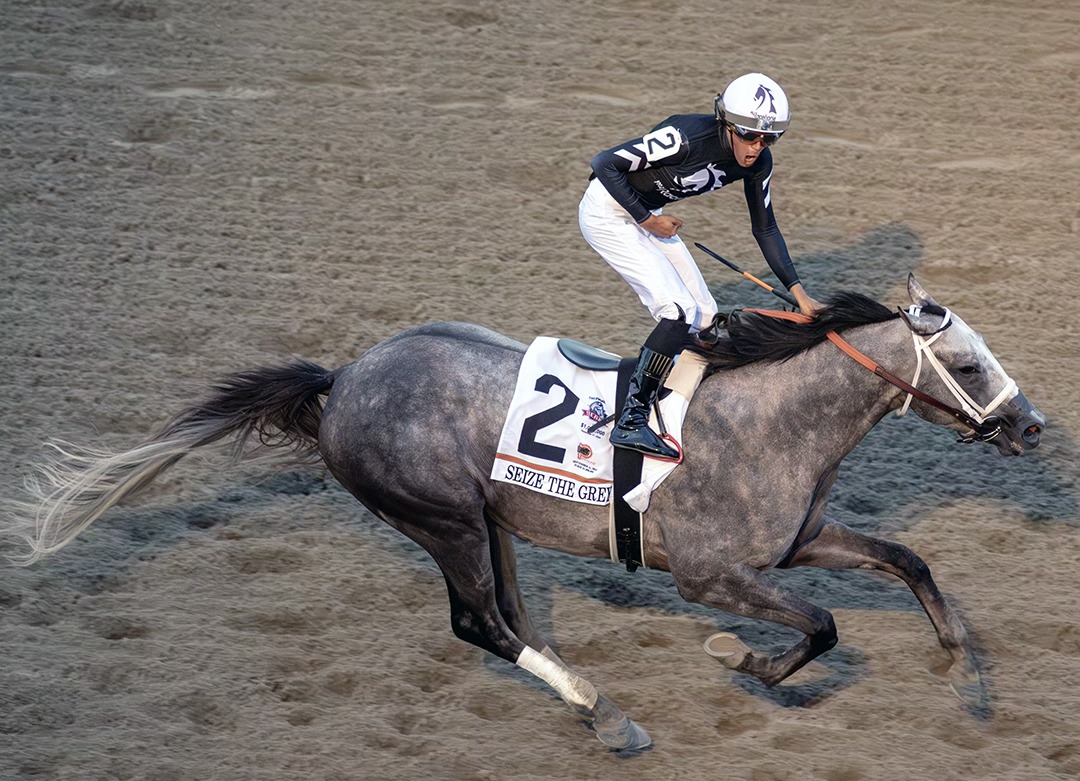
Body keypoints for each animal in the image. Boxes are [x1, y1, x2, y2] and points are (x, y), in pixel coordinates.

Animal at [3, 275, 1045, 751]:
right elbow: (822, 627)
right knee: (478, 623)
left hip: (488, 521)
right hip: (442, 517)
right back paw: (607, 714)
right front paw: (740, 660)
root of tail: (343, 381)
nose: (1030, 426)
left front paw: (967, 674)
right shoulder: (710, 574)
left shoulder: (795, 543)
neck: (769, 417)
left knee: (505, 613)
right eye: (971, 362)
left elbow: (907, 559)